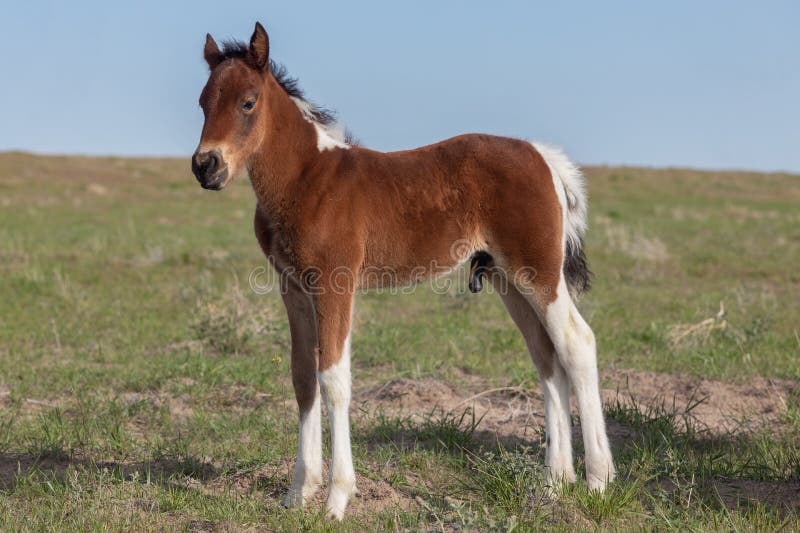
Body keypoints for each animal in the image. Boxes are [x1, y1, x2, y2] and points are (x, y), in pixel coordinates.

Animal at [191, 22, 614, 520]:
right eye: (202, 102)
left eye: (248, 101)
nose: (206, 166)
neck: (307, 179)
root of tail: (543, 156)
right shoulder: (292, 287)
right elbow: (303, 377)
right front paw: (298, 493)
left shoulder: (335, 283)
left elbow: (334, 380)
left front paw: (337, 499)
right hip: (507, 279)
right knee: (546, 356)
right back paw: (554, 484)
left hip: (539, 271)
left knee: (577, 344)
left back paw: (598, 482)